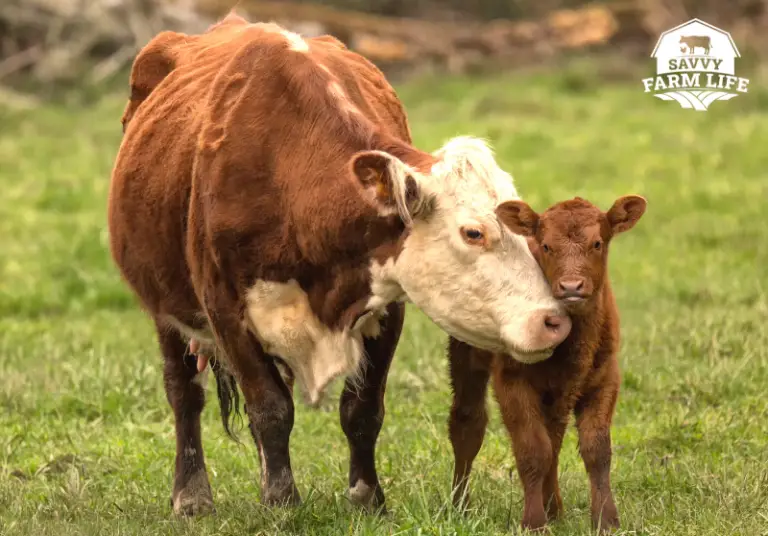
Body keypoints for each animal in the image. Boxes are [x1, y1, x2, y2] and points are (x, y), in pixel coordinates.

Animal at [108, 12, 572, 516]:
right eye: (473, 232)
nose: (553, 321)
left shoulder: (387, 303)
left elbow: (361, 408)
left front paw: (367, 496)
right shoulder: (225, 310)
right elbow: (270, 407)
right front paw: (282, 502)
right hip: (166, 308)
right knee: (184, 393)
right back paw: (191, 494)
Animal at [447, 195, 646, 532]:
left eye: (597, 243)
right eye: (546, 246)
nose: (571, 286)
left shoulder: (605, 378)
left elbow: (596, 449)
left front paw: (606, 519)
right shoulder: (512, 380)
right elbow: (532, 450)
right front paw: (533, 521)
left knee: (554, 437)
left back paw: (555, 509)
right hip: (466, 353)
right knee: (467, 423)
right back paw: (459, 506)